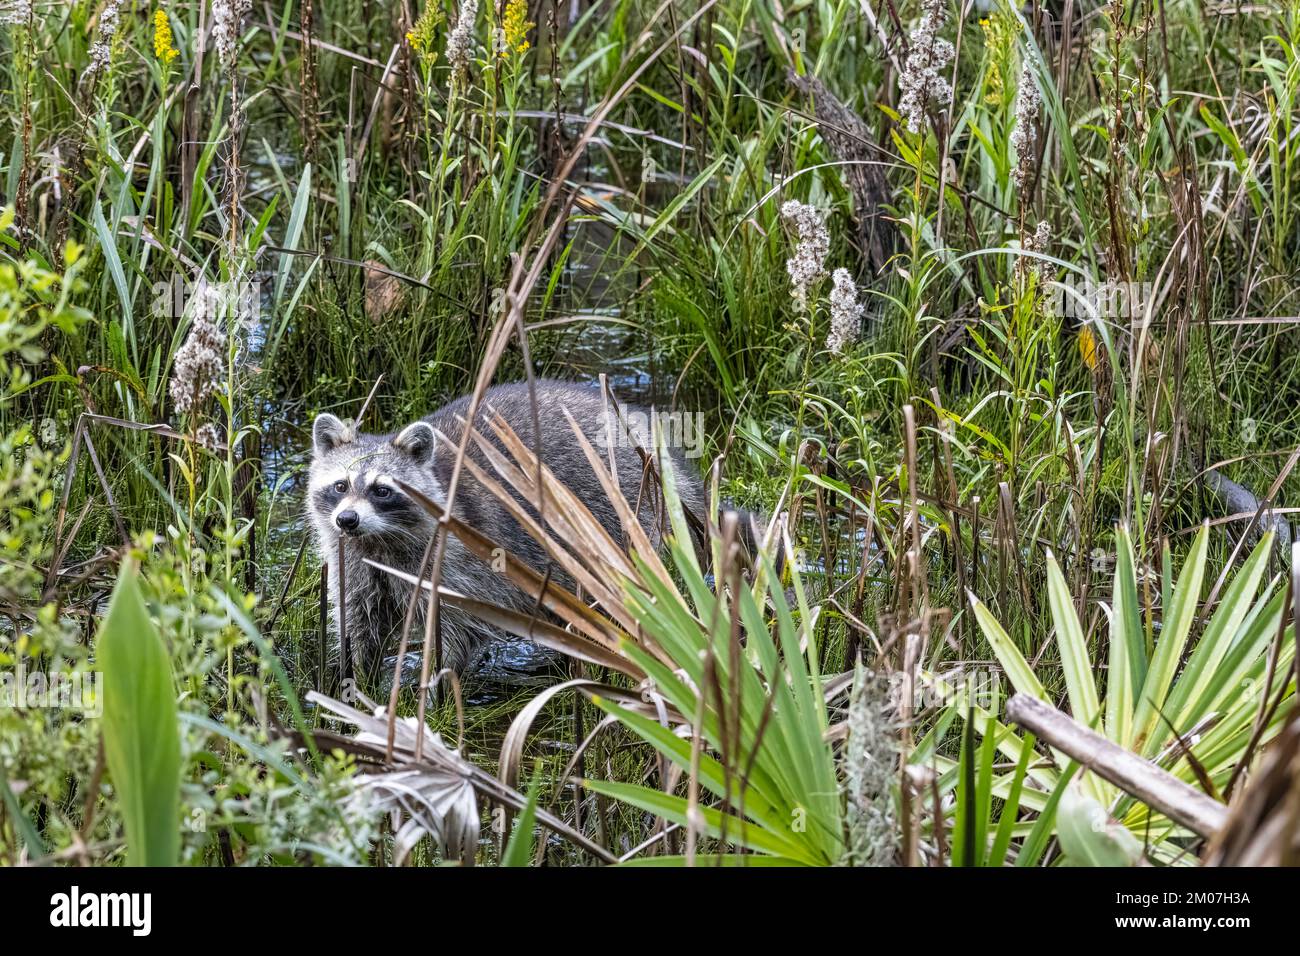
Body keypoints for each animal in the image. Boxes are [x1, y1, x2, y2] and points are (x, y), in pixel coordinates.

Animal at [307, 379, 708, 681]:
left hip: (622, 507)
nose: (347, 520)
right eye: (341, 486)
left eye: (382, 490)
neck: (379, 539)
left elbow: (454, 629)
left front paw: (438, 690)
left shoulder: (455, 558)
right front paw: (358, 683)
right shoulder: (354, 563)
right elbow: (359, 623)